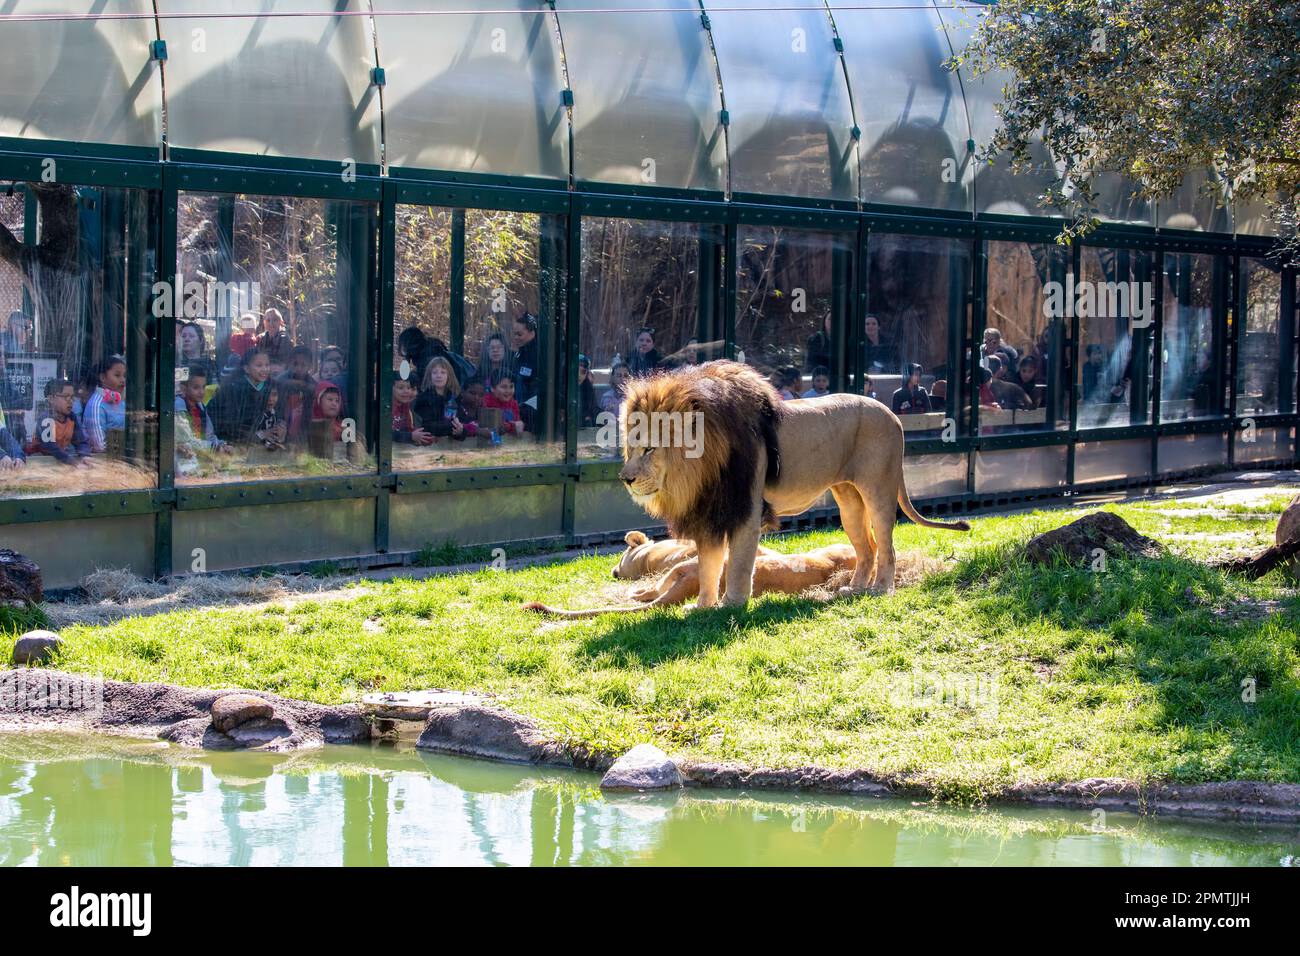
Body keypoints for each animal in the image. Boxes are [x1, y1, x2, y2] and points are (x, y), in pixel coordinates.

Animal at [616, 360, 969, 606]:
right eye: (631, 448)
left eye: (649, 449)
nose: (625, 479)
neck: (700, 469)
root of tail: (894, 416)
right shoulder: (712, 513)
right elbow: (708, 566)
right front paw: (702, 606)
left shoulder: (745, 509)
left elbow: (739, 563)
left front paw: (732, 604)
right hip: (848, 499)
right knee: (867, 547)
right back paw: (854, 589)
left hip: (879, 490)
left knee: (886, 546)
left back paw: (881, 590)